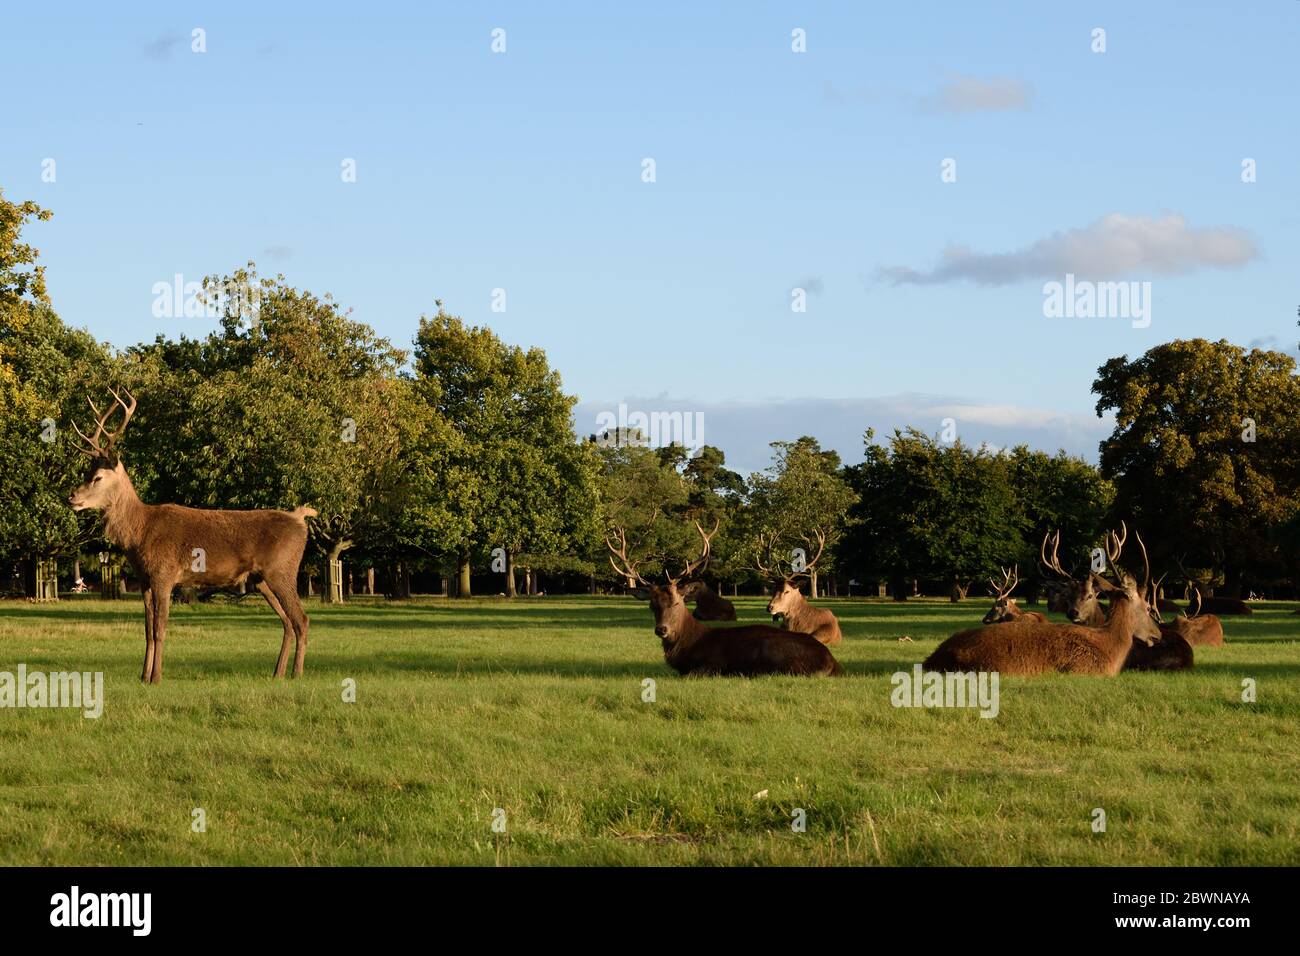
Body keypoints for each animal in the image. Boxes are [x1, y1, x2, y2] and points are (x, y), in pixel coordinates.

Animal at [66, 388, 317, 683]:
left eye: (98, 478)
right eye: (86, 472)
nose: (72, 497)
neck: (139, 534)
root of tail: (300, 519)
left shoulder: (164, 574)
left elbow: (160, 628)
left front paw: (156, 677)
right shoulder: (145, 579)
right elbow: (147, 630)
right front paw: (143, 676)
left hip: (282, 569)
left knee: (301, 619)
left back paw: (296, 674)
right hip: (261, 579)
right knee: (287, 621)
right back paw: (278, 673)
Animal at [608, 521, 842, 677]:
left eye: (676, 602)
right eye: (652, 605)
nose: (661, 629)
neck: (687, 647)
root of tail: (831, 662)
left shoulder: (713, 664)